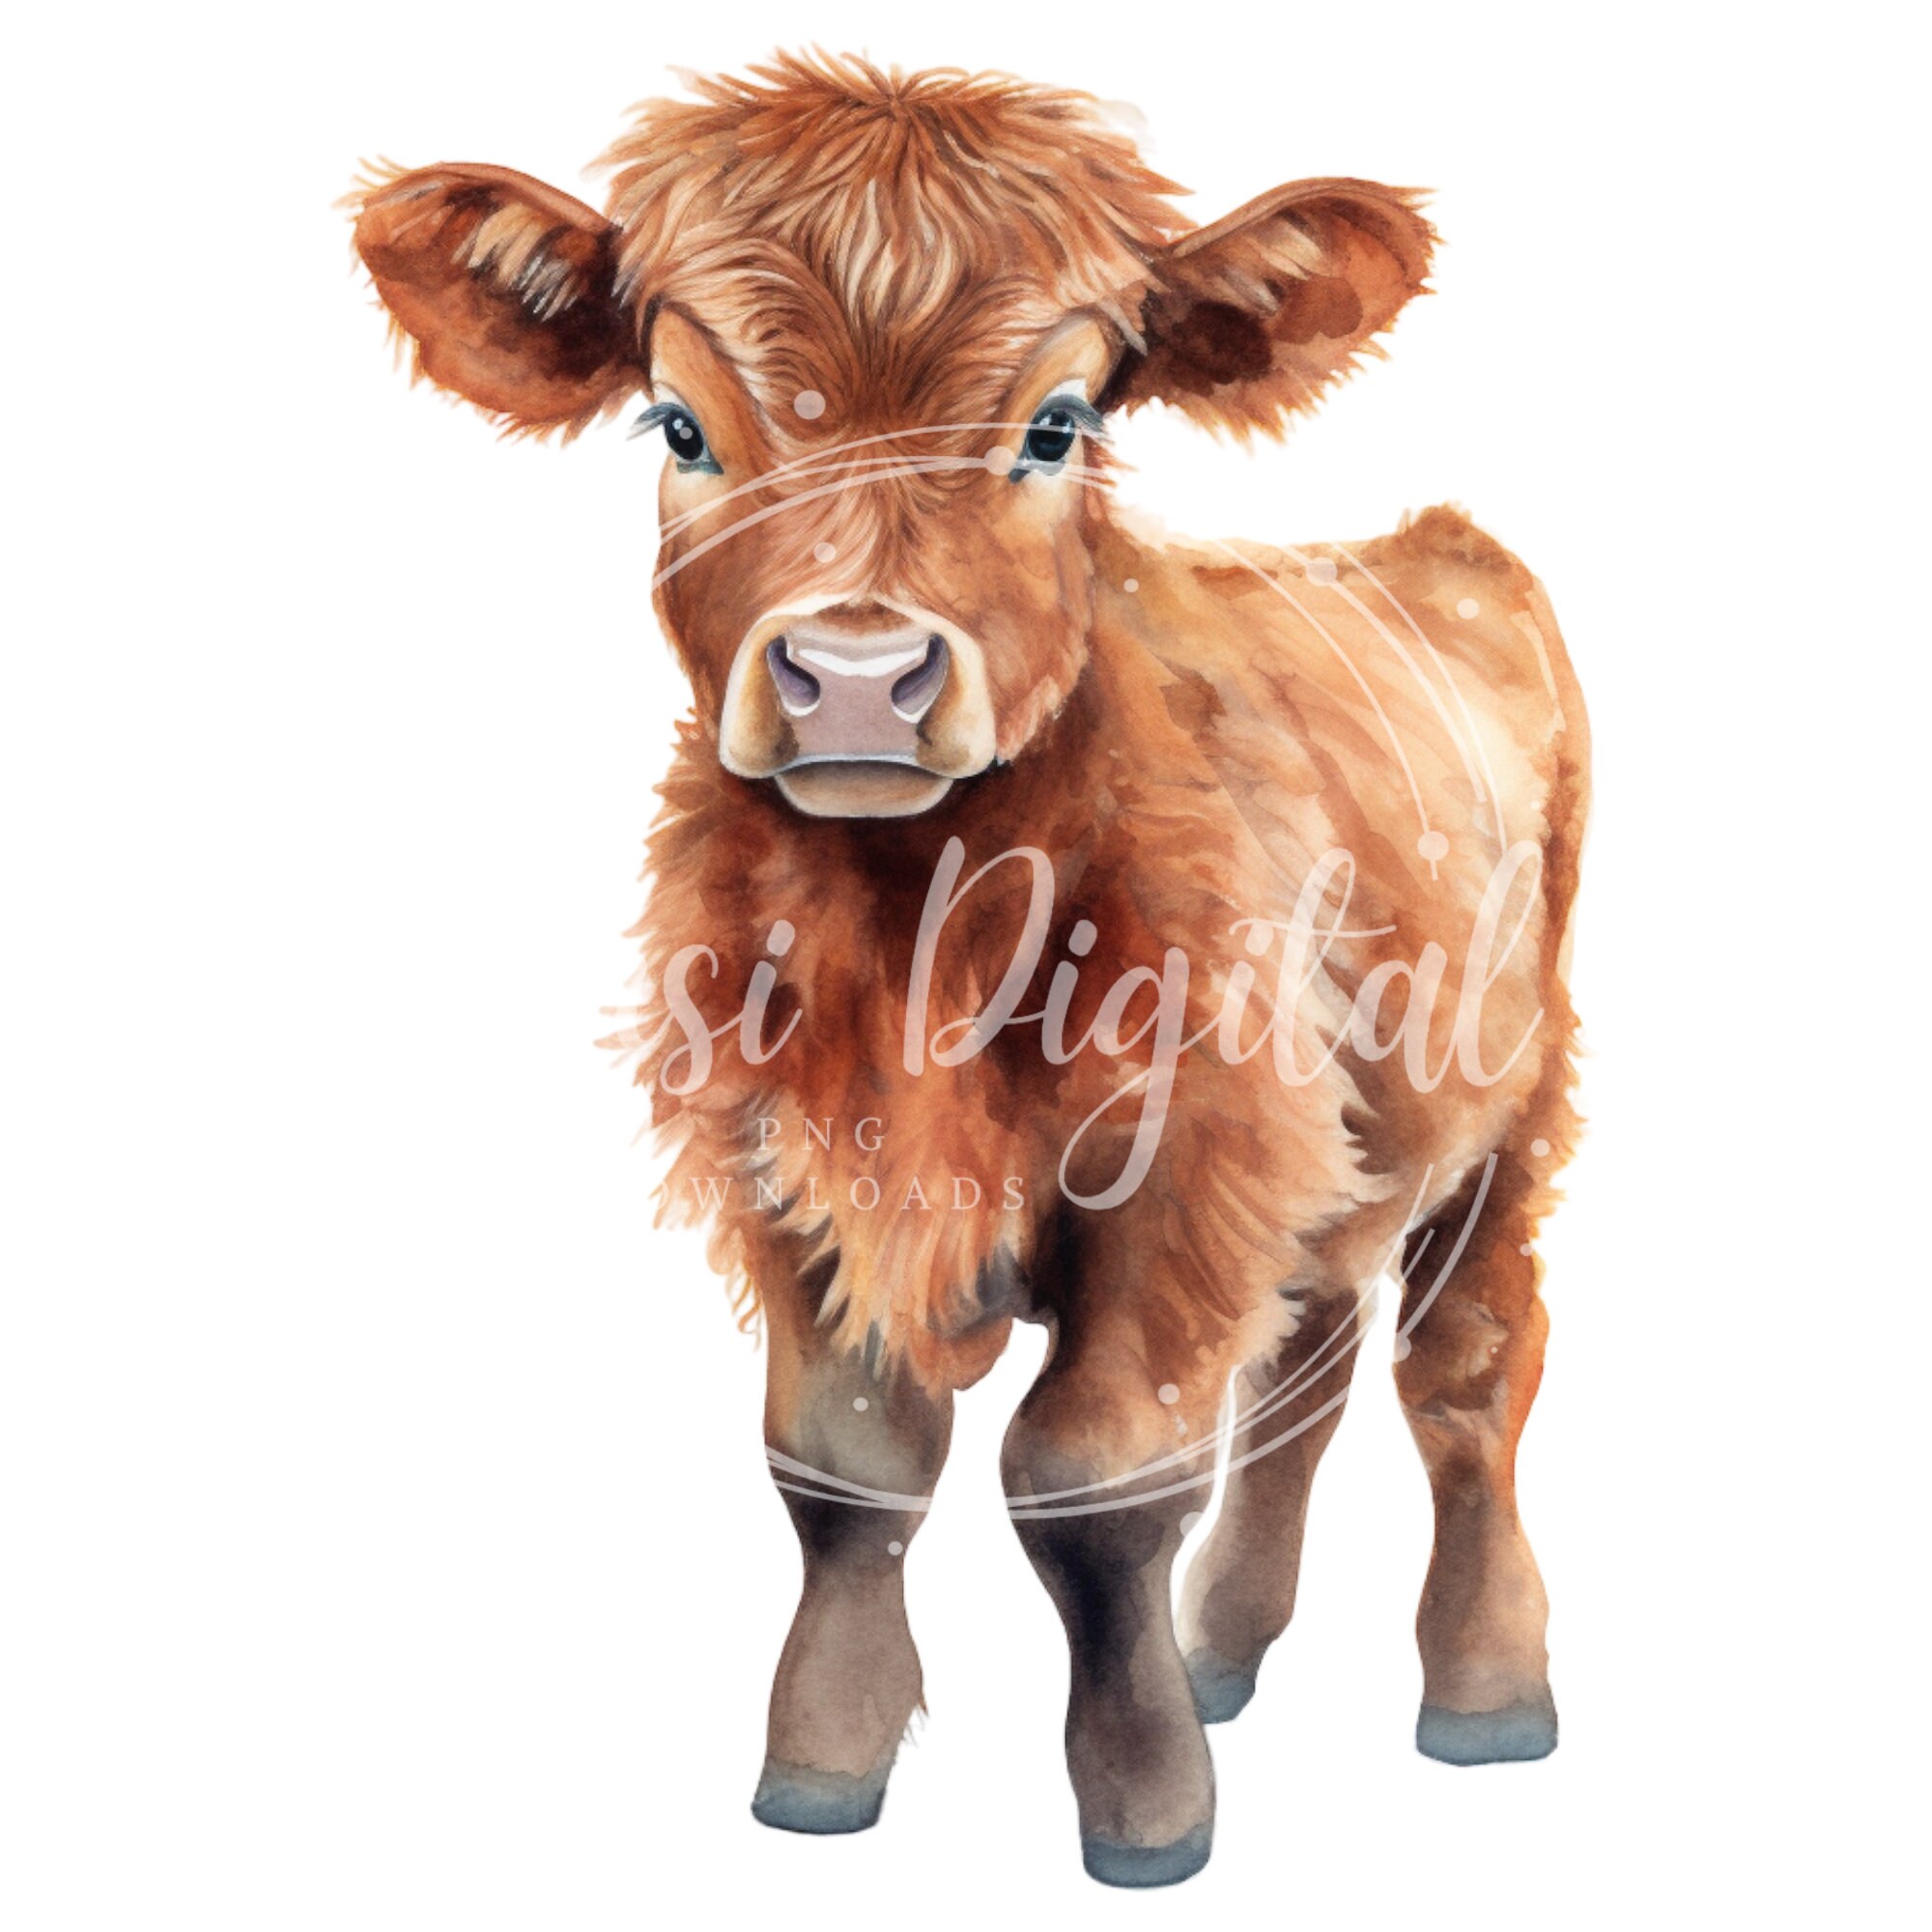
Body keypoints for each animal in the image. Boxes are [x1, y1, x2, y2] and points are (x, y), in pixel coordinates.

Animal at [350, 50, 1589, 1888]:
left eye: (1059, 423)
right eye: (680, 423)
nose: (856, 678)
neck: (919, 943)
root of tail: (1430, 544)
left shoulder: (1182, 1176)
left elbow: (1093, 1480)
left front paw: (1147, 1805)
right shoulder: (786, 1160)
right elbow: (844, 1469)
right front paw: (821, 1763)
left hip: (1511, 1109)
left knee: (1465, 1380)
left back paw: (1489, 1693)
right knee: (1301, 1381)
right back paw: (1228, 1649)